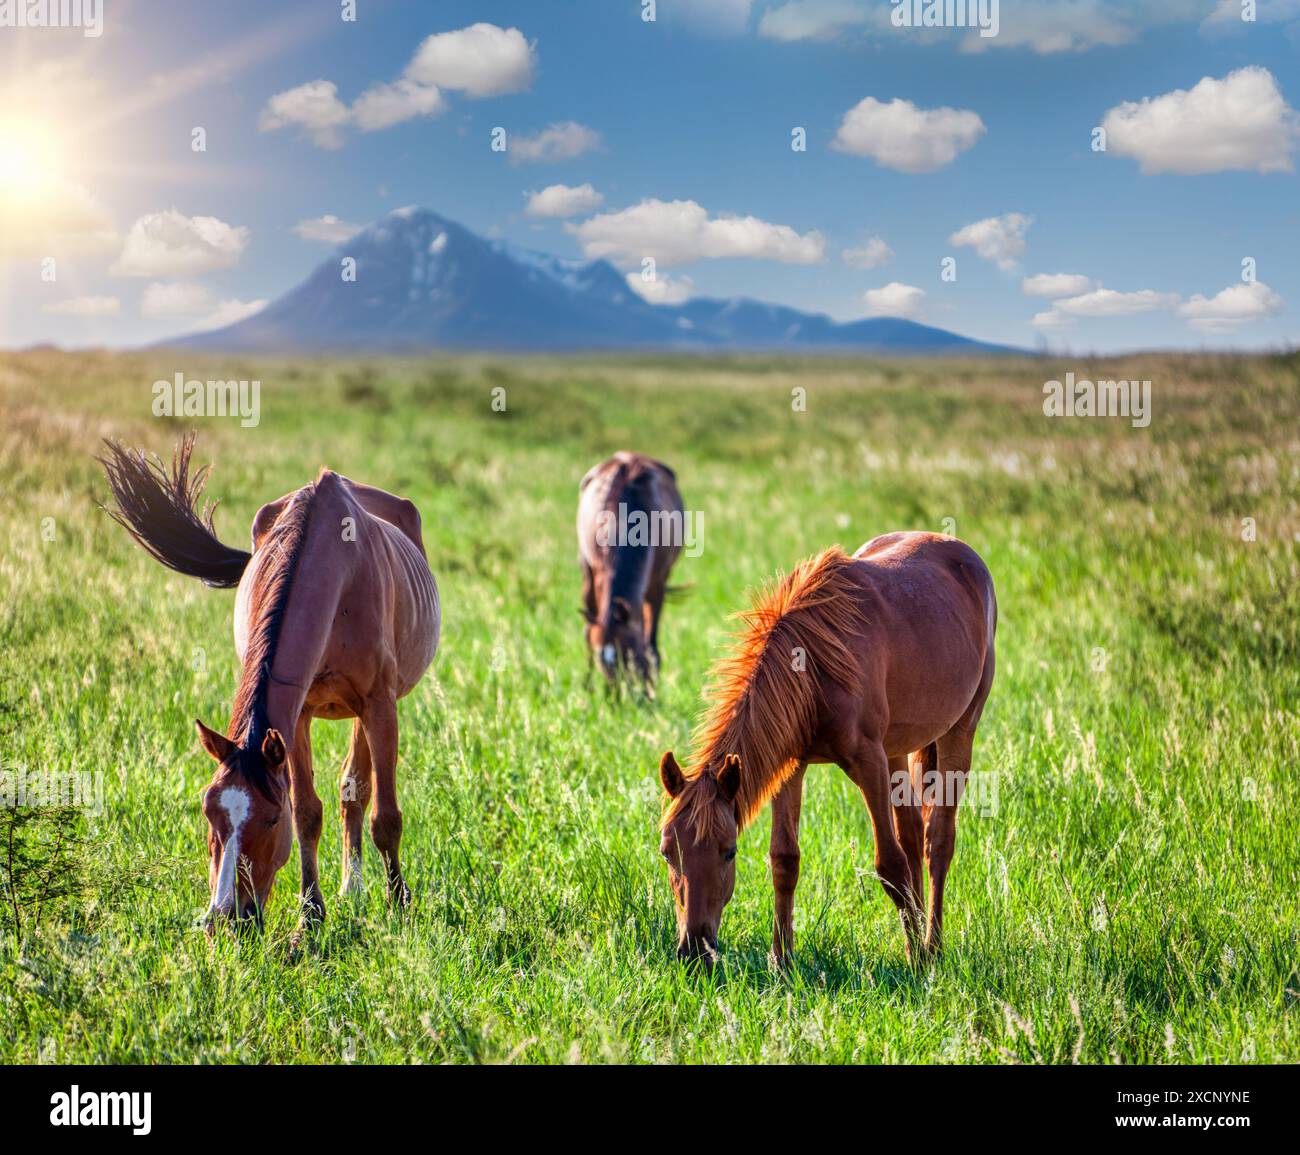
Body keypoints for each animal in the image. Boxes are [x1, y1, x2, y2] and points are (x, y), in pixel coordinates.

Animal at [99, 433, 440, 930]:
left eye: (270, 821)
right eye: (208, 813)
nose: (225, 916)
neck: (336, 571)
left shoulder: (380, 702)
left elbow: (385, 816)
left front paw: (399, 903)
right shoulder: (297, 715)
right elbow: (309, 812)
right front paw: (310, 914)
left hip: (371, 707)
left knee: (357, 787)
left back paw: (357, 887)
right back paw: (348, 890)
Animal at [577, 452, 684, 689]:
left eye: (630, 655)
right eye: (602, 660)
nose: (622, 693)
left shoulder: (657, 585)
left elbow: (651, 647)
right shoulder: (592, 573)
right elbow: (588, 630)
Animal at [657, 532, 996, 969]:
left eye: (729, 852)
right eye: (667, 853)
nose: (694, 950)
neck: (813, 665)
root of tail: (960, 550)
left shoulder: (868, 762)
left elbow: (889, 864)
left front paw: (916, 964)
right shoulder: (790, 765)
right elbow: (784, 861)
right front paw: (782, 963)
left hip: (959, 731)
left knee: (937, 839)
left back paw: (931, 946)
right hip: (900, 750)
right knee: (911, 833)